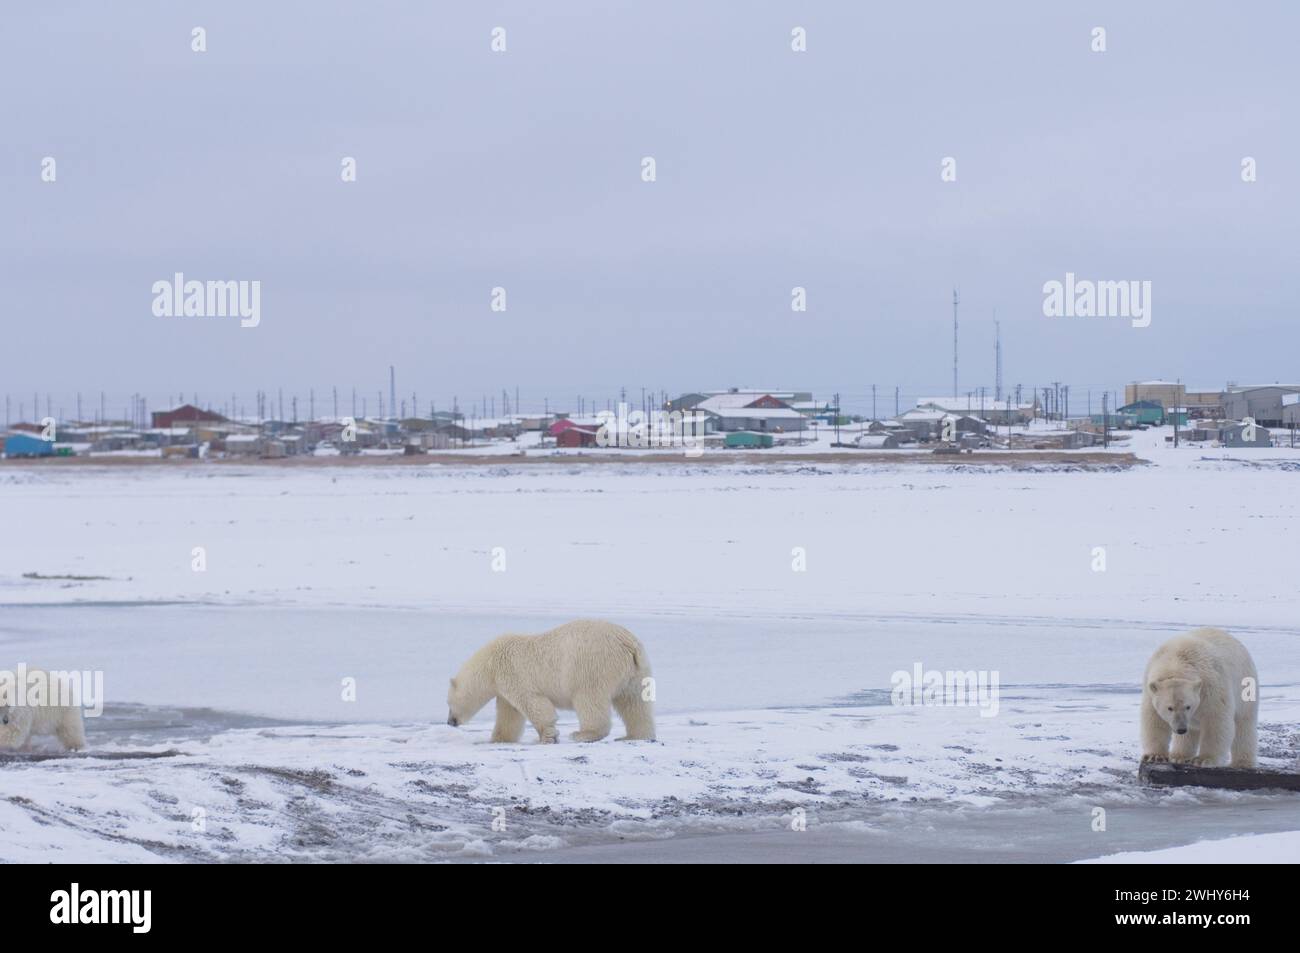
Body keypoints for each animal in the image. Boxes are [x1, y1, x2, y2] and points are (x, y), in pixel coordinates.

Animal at [446, 619, 655, 744]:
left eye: (448, 703)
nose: (449, 722)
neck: (489, 664)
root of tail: (629, 644)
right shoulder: (504, 687)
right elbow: (509, 715)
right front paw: (498, 739)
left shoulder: (513, 674)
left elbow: (533, 704)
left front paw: (547, 736)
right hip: (637, 673)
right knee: (635, 703)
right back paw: (634, 736)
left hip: (592, 665)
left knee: (589, 699)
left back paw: (584, 734)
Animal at [1141, 627, 1257, 768]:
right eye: (1169, 708)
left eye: (1188, 706)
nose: (1181, 729)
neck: (1176, 661)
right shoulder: (1151, 689)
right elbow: (1154, 720)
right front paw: (1155, 756)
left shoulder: (1211, 686)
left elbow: (1216, 720)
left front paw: (1204, 759)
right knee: (1191, 731)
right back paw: (1179, 756)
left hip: (1244, 687)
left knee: (1244, 725)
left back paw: (1242, 762)